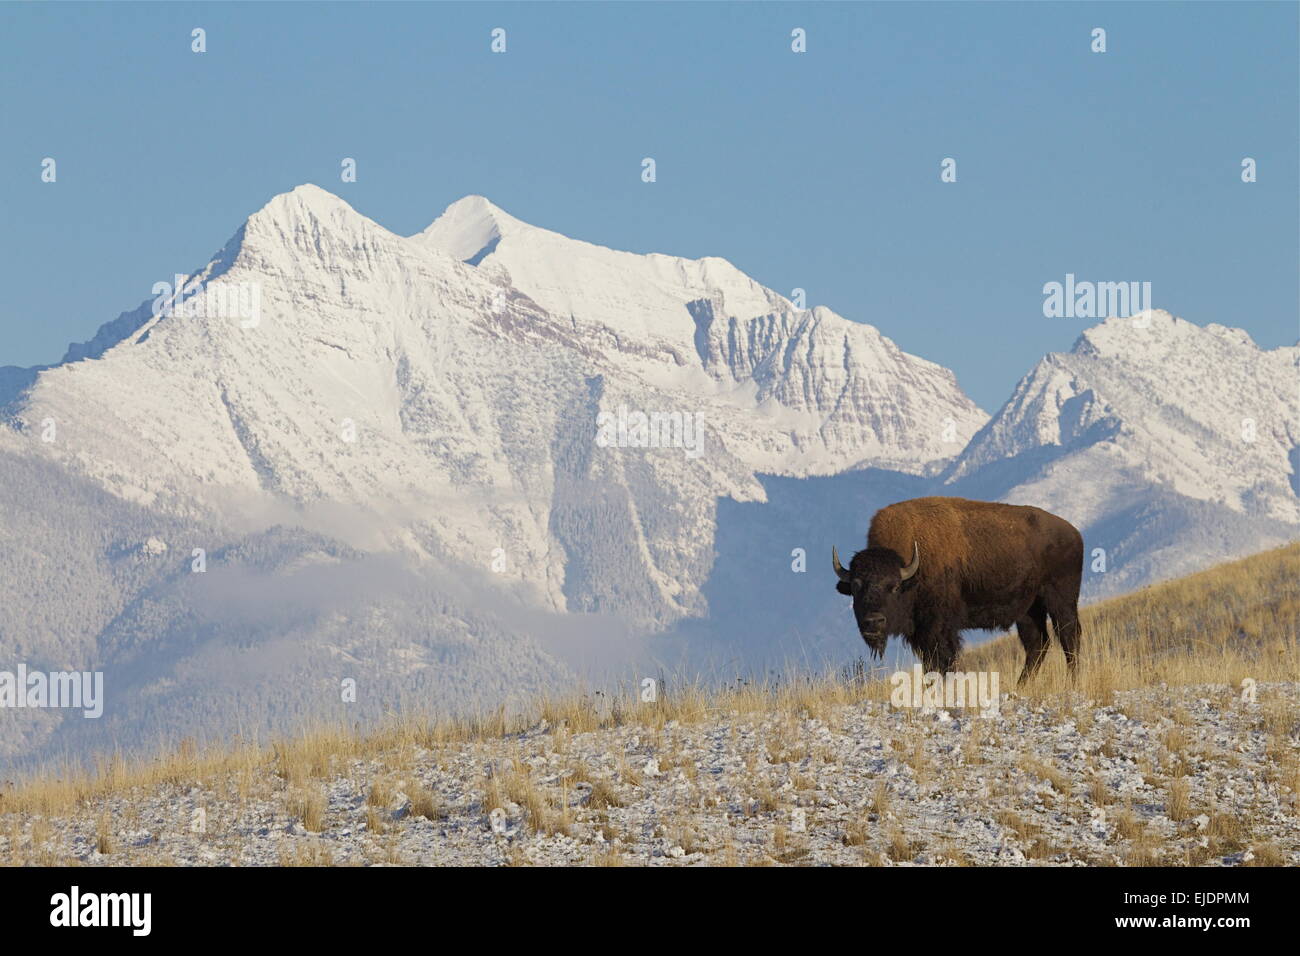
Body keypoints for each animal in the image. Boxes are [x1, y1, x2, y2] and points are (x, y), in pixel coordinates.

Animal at [832, 496, 1083, 685]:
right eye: (856, 587)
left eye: (893, 586)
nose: (873, 622)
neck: (911, 572)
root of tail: (1073, 532)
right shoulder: (920, 633)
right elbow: (930, 664)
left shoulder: (939, 628)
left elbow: (944, 660)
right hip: (1028, 610)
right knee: (1037, 644)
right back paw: (1021, 685)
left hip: (1060, 600)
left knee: (1069, 636)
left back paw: (1072, 681)